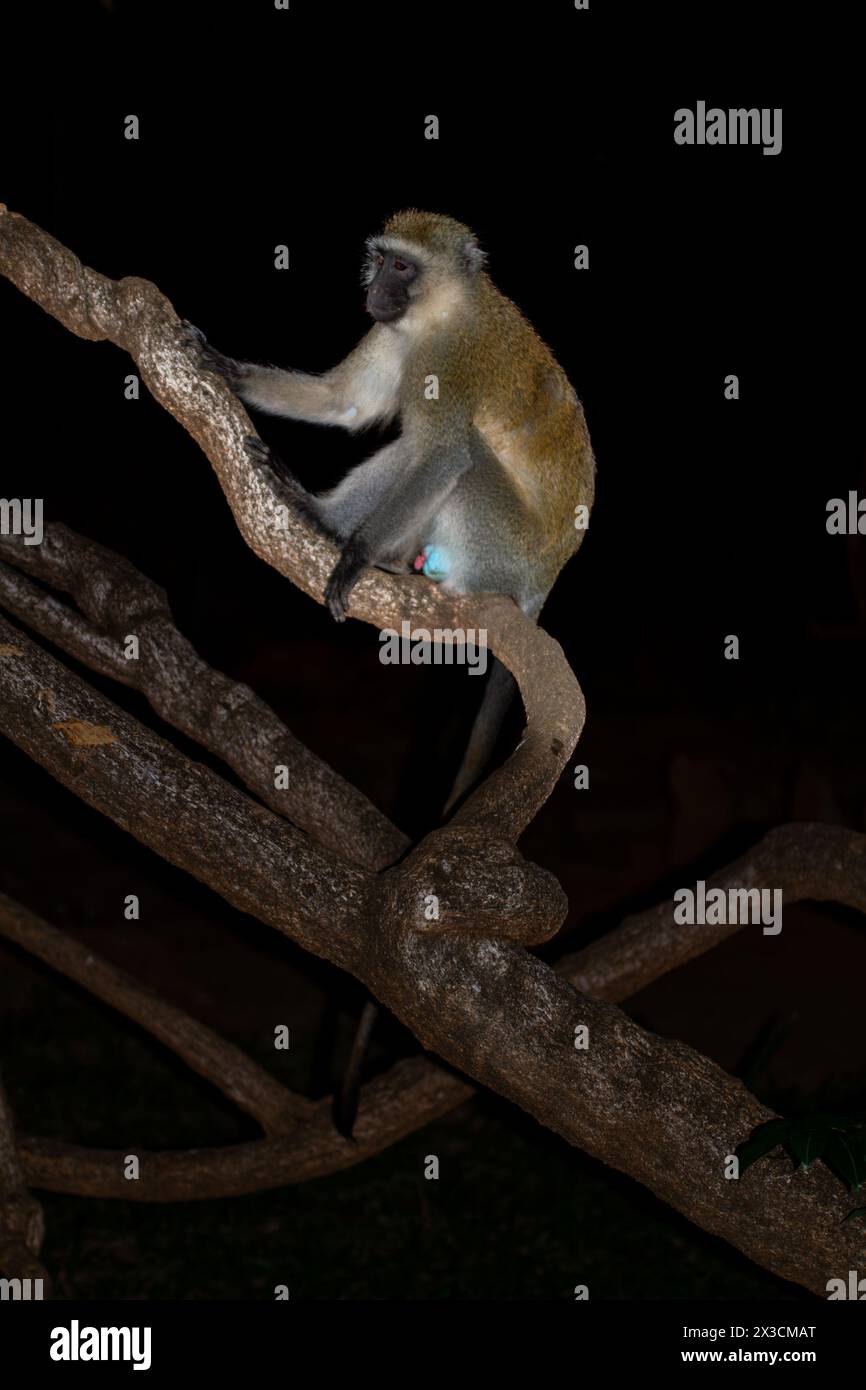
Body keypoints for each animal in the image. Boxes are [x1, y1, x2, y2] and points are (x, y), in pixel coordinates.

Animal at [187, 210, 595, 1133]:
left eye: (401, 267)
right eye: (378, 260)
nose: (373, 288)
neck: (440, 313)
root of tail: (538, 590)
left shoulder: (450, 362)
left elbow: (441, 453)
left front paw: (350, 560)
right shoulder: (397, 340)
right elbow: (347, 404)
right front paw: (225, 366)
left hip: (490, 547)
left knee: (457, 458)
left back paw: (359, 547)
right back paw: (316, 513)